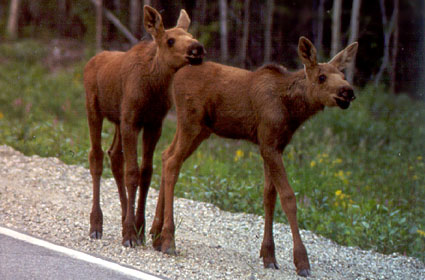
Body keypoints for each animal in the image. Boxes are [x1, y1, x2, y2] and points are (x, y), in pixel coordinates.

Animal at [82, 5, 204, 247]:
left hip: (118, 121)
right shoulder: (132, 121)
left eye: (191, 35)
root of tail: (91, 61)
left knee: (114, 155)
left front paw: (139, 229)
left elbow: (146, 172)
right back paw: (96, 225)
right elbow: (133, 172)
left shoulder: (152, 124)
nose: (197, 48)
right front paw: (130, 234)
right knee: (96, 157)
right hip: (94, 110)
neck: (154, 87)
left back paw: (122, 218)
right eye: (170, 40)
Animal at [151, 36, 356, 276]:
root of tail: (176, 75)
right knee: (173, 163)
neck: (293, 111)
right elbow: (288, 197)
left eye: (343, 76)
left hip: (200, 130)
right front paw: (302, 262)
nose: (347, 91)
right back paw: (168, 240)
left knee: (166, 155)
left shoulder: (274, 146)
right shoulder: (268, 144)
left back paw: (155, 234)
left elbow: (269, 196)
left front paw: (269, 255)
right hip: (190, 123)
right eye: (321, 77)